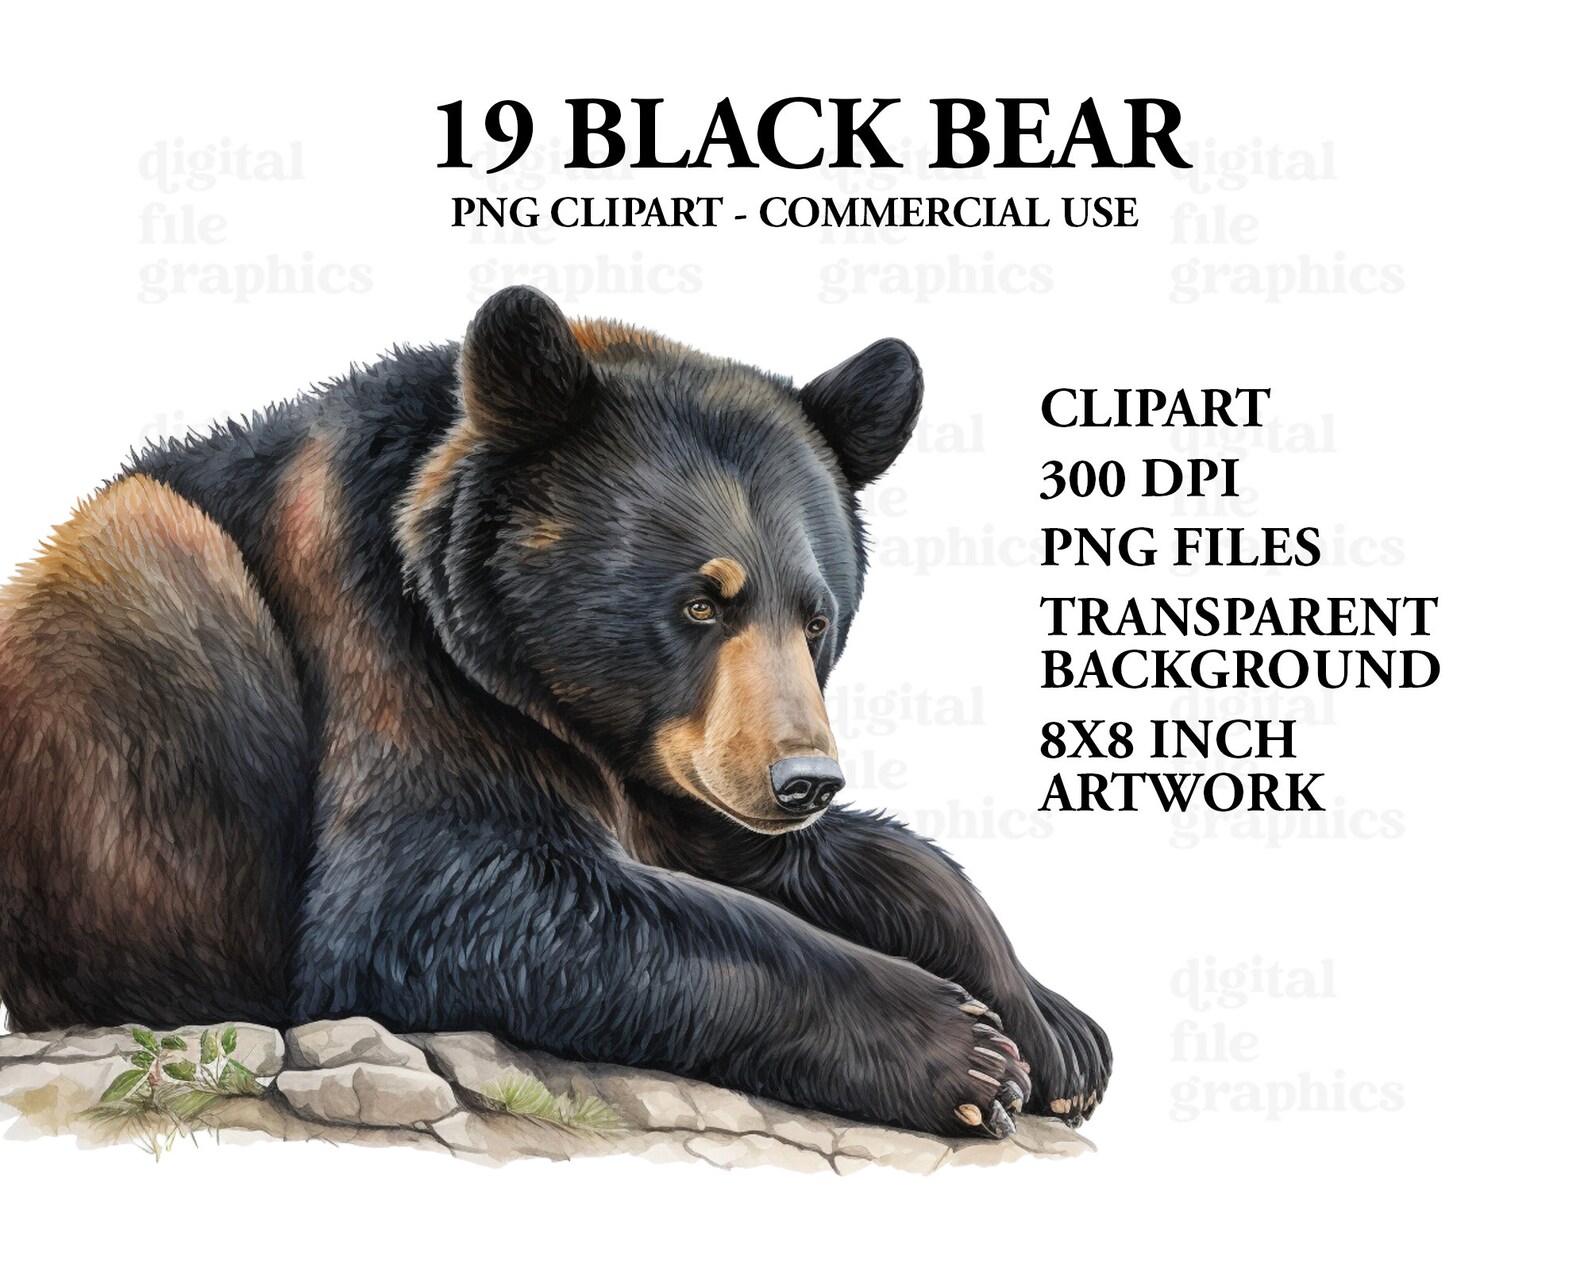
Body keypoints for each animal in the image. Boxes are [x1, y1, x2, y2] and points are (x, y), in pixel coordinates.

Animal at [0, 286, 1110, 1138]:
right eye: (701, 600)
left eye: (816, 612)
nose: (806, 779)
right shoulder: (391, 648)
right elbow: (452, 894)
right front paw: (962, 1051)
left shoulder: (680, 765)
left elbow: (847, 858)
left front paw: (1057, 1030)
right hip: (143, 609)